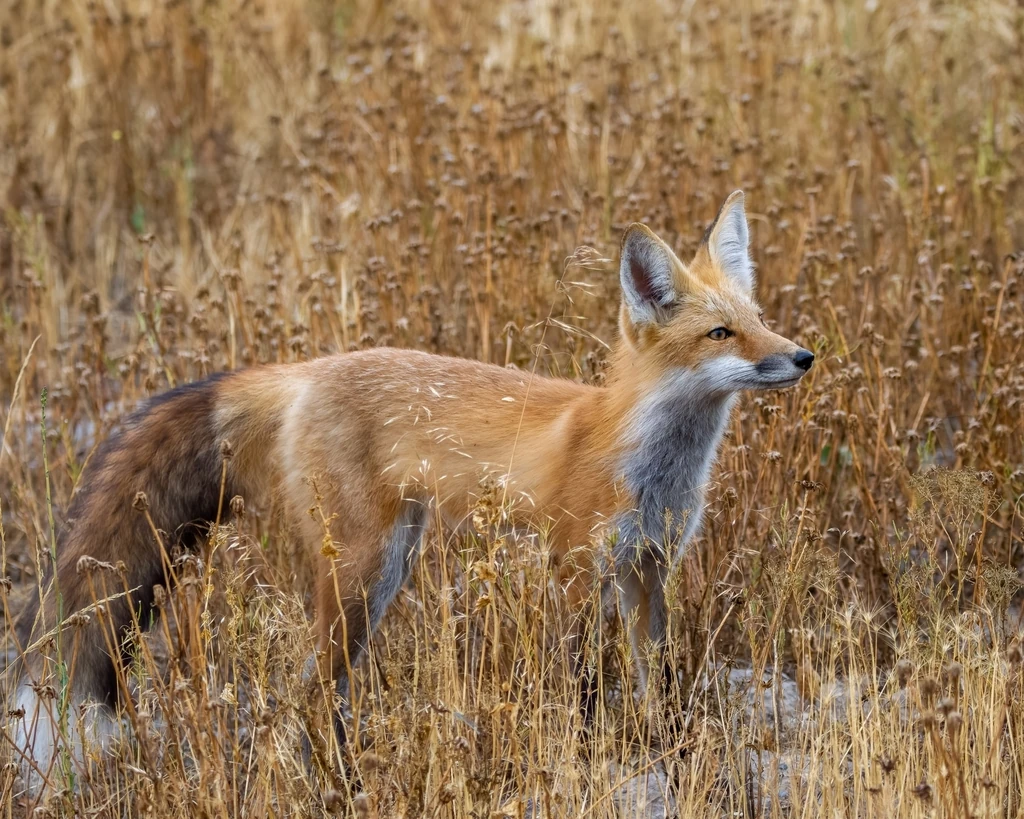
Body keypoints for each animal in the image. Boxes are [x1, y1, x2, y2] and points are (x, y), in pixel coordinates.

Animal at [11, 190, 813, 773]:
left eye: (759, 318)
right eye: (720, 334)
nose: (804, 355)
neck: (650, 463)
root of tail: (303, 371)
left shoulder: (649, 566)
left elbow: (659, 679)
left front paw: (670, 749)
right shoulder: (574, 569)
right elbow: (580, 684)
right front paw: (587, 756)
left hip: (386, 564)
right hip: (367, 571)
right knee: (311, 686)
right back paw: (337, 773)